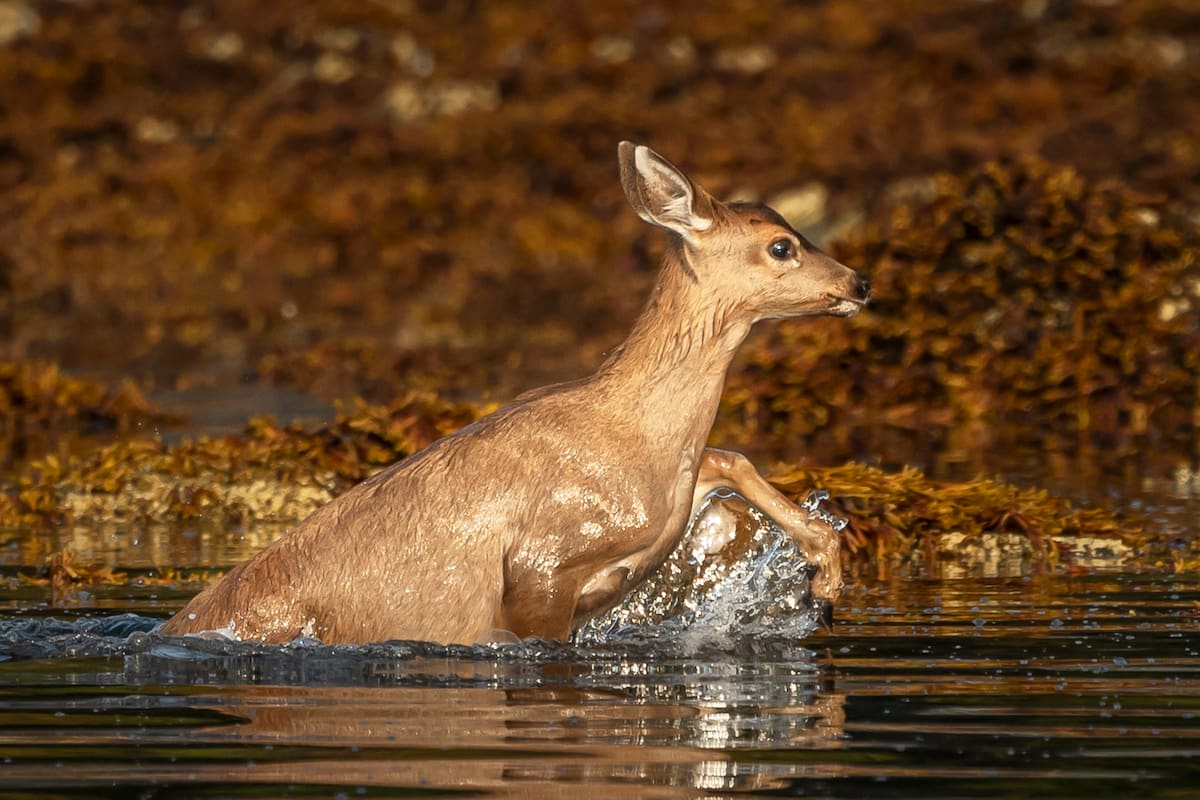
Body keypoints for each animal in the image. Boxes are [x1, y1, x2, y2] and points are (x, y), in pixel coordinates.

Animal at [160, 142, 871, 646]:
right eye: (781, 246)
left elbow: (730, 458)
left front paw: (826, 579)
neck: (635, 431)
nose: (859, 283)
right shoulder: (537, 570)